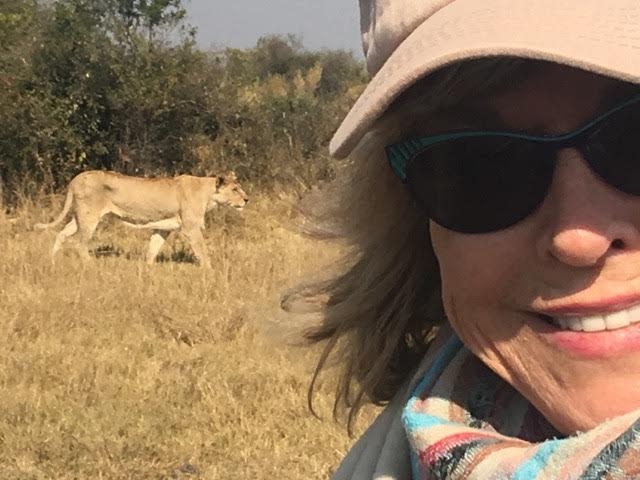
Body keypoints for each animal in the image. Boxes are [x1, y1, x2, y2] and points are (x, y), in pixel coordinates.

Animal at [34, 170, 248, 267]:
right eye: (235, 189)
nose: (247, 199)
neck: (208, 193)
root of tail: (76, 178)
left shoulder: (163, 227)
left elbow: (153, 249)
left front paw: (148, 270)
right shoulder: (191, 228)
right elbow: (203, 252)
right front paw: (210, 272)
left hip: (81, 217)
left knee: (62, 233)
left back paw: (51, 260)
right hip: (89, 217)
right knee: (80, 244)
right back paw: (91, 266)